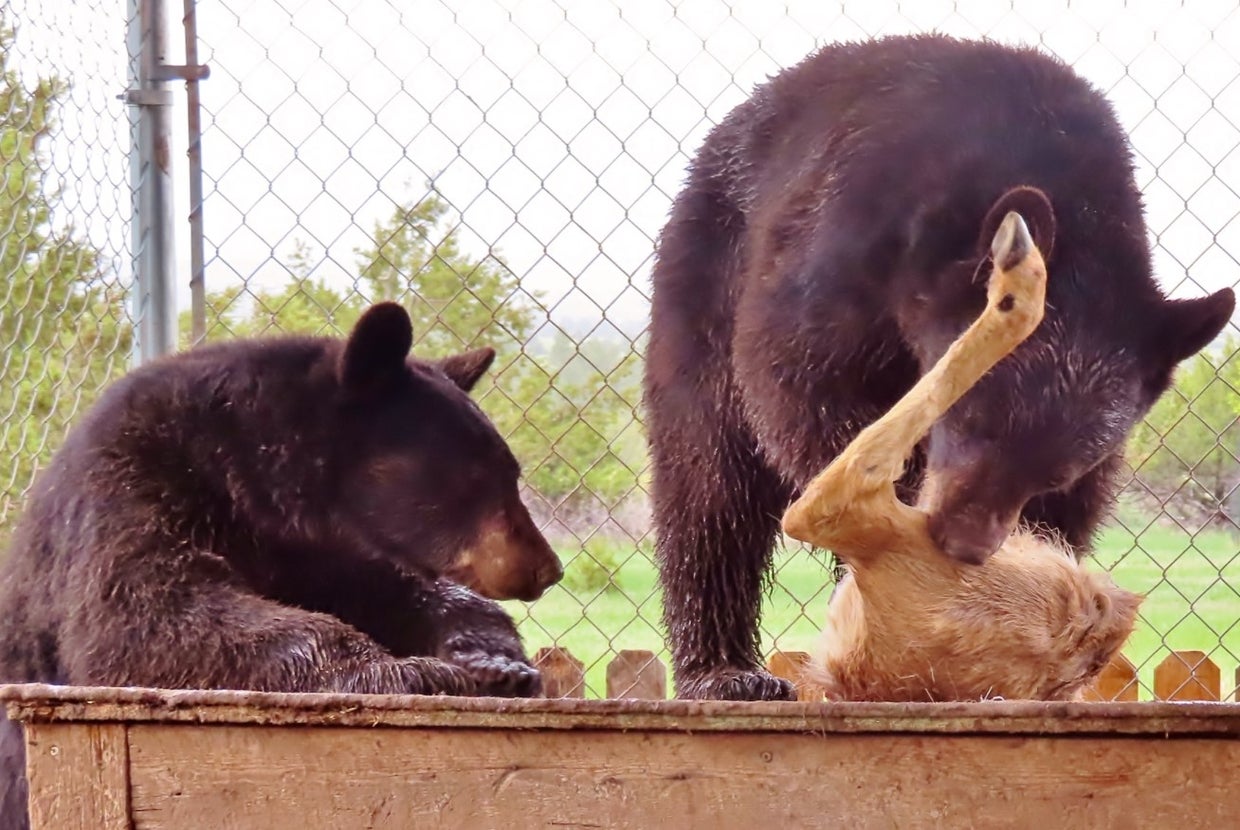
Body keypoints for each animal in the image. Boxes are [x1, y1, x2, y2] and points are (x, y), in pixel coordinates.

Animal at [0, 302, 563, 830]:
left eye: (509, 471)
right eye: (484, 476)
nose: (548, 567)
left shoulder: (320, 553)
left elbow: (396, 591)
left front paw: (497, 659)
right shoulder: (129, 485)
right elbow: (148, 616)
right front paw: (422, 671)